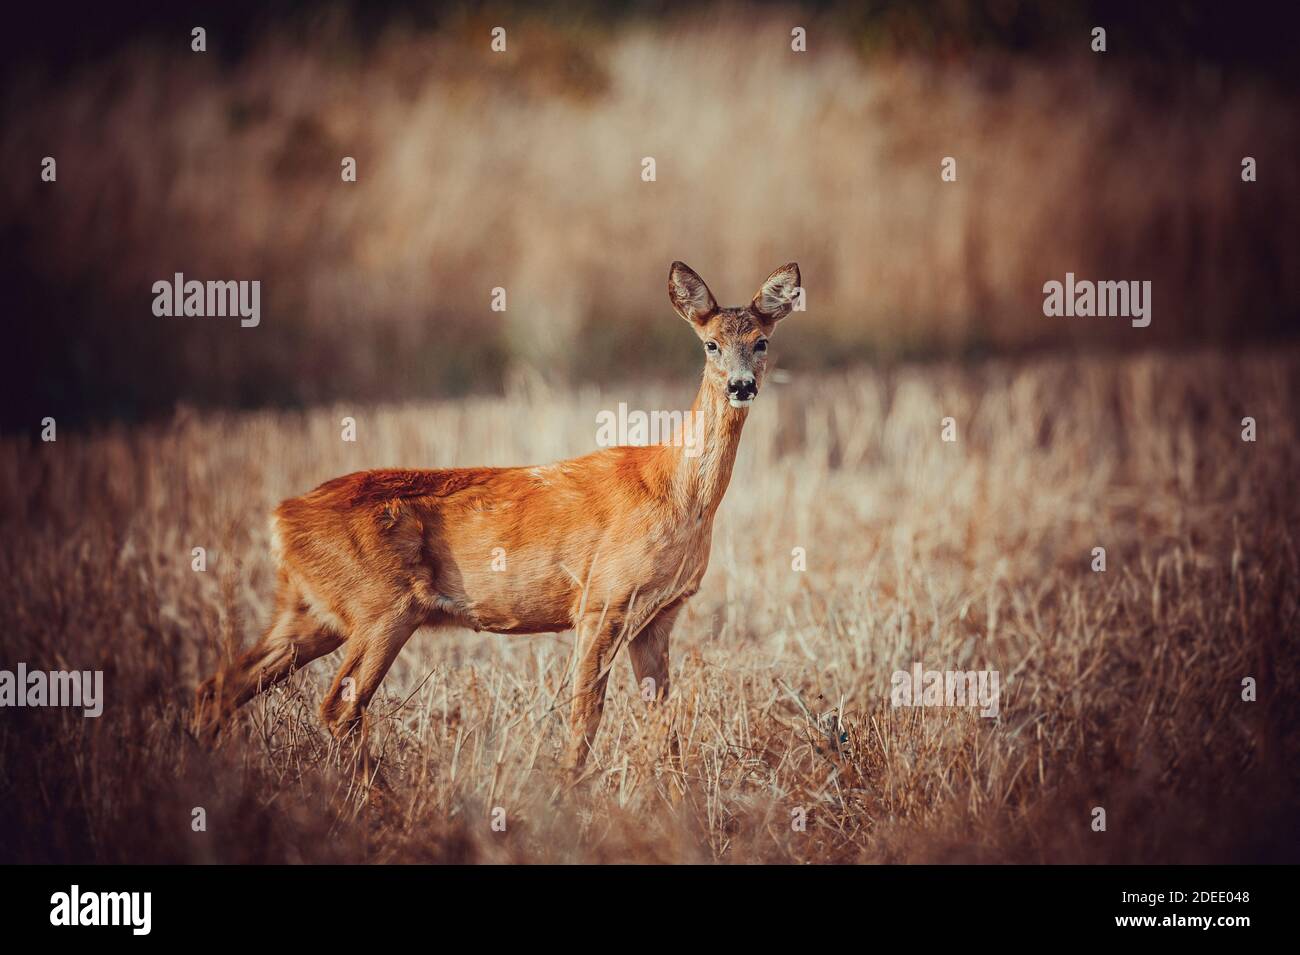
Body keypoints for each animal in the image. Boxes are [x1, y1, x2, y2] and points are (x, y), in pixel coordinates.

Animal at [194, 261, 800, 773]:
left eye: (762, 341)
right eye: (710, 344)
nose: (741, 385)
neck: (677, 491)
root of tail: (280, 516)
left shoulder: (657, 617)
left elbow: (665, 728)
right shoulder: (602, 599)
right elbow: (584, 717)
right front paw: (566, 794)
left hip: (311, 610)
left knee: (220, 684)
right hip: (383, 604)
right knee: (337, 706)